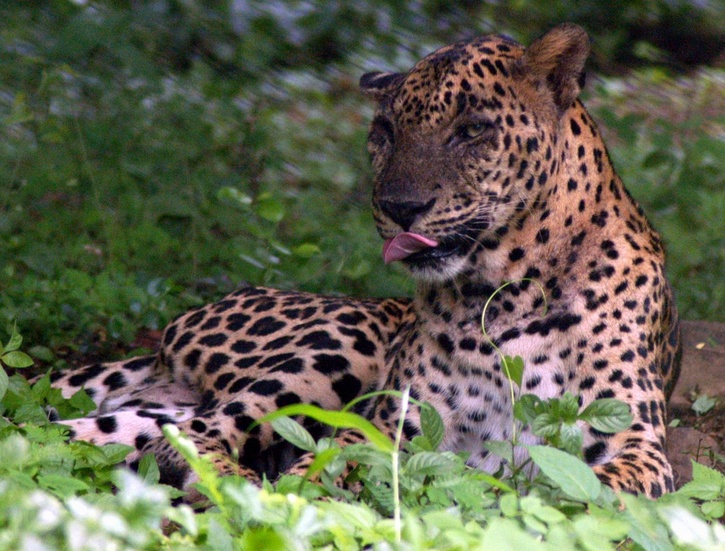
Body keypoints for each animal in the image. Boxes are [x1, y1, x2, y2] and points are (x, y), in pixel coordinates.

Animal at [44, 23, 680, 499]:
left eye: (473, 129)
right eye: (384, 130)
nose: (399, 207)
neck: (502, 293)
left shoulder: (634, 441)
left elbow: (593, 489)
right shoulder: (400, 426)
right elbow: (337, 462)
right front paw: (306, 496)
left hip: (161, 406)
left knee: (96, 433)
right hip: (329, 351)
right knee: (192, 438)